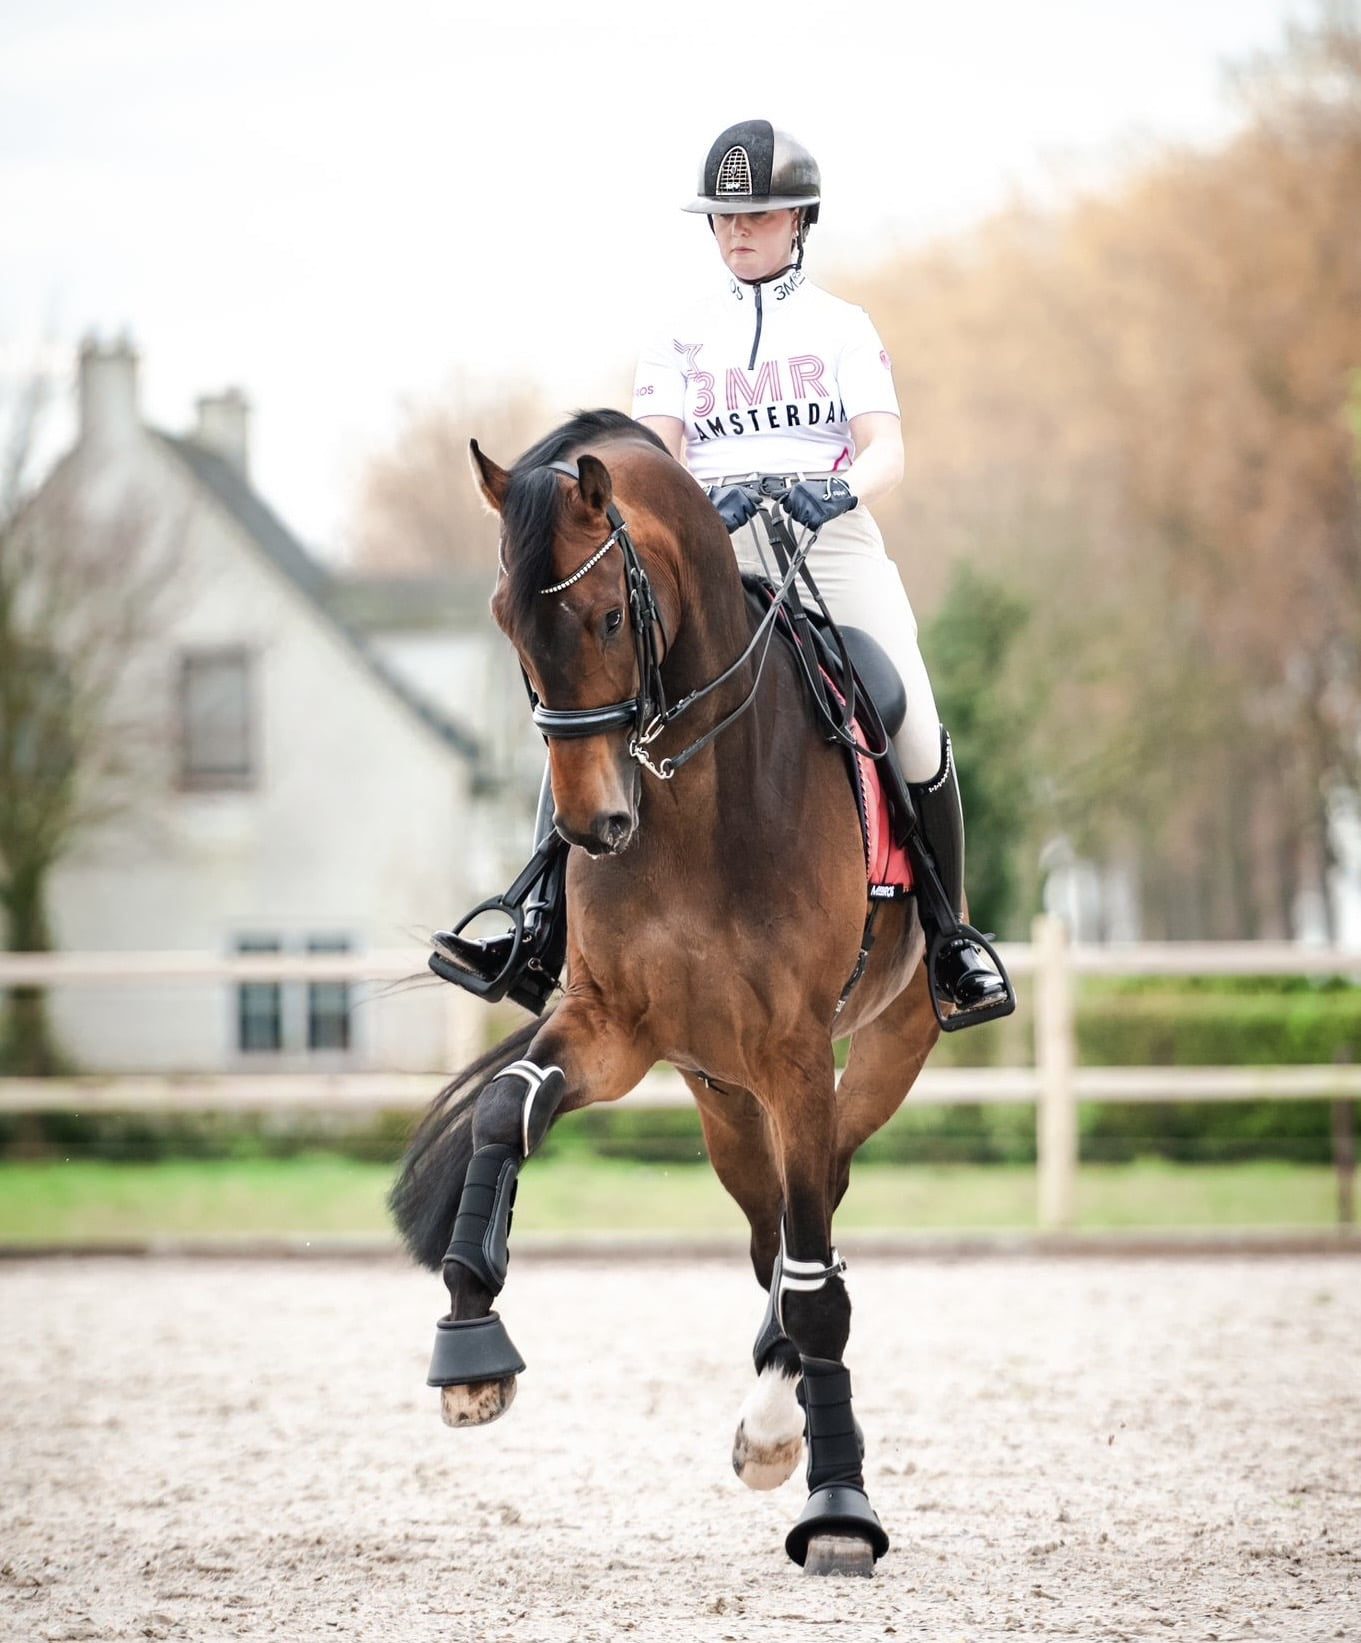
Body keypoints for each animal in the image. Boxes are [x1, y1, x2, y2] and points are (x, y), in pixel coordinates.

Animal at [390, 408, 941, 1576]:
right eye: (507, 624)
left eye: (608, 613)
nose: (595, 824)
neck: (696, 797)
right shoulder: (615, 1026)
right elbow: (506, 1106)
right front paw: (469, 1340)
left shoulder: (798, 1055)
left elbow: (816, 1274)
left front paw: (838, 1506)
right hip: (719, 1096)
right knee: (770, 1232)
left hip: (879, 1051)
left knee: (813, 1218)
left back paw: (785, 1422)